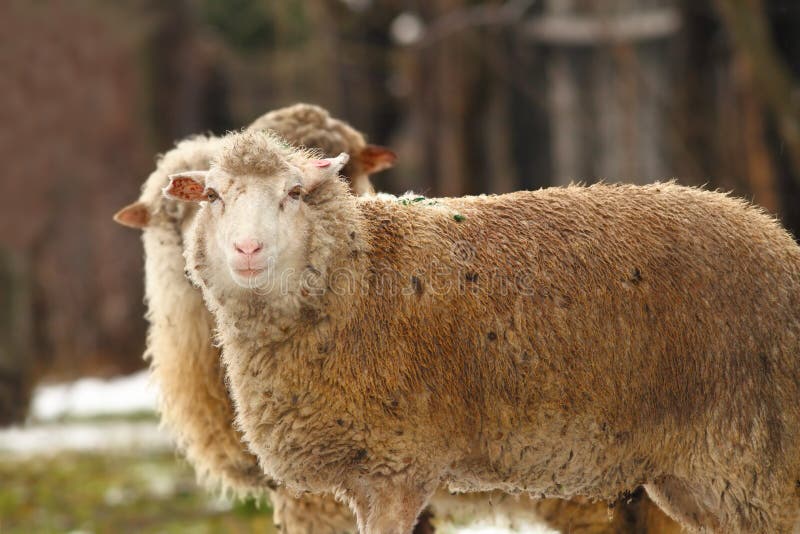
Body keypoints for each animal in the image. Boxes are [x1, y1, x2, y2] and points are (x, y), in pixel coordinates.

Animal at [168, 128, 800, 534]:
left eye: (293, 194)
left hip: (759, 457)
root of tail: (774, 233)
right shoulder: (364, 475)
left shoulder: (398, 465)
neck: (357, 269)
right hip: (695, 480)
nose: (247, 250)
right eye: (213, 196)